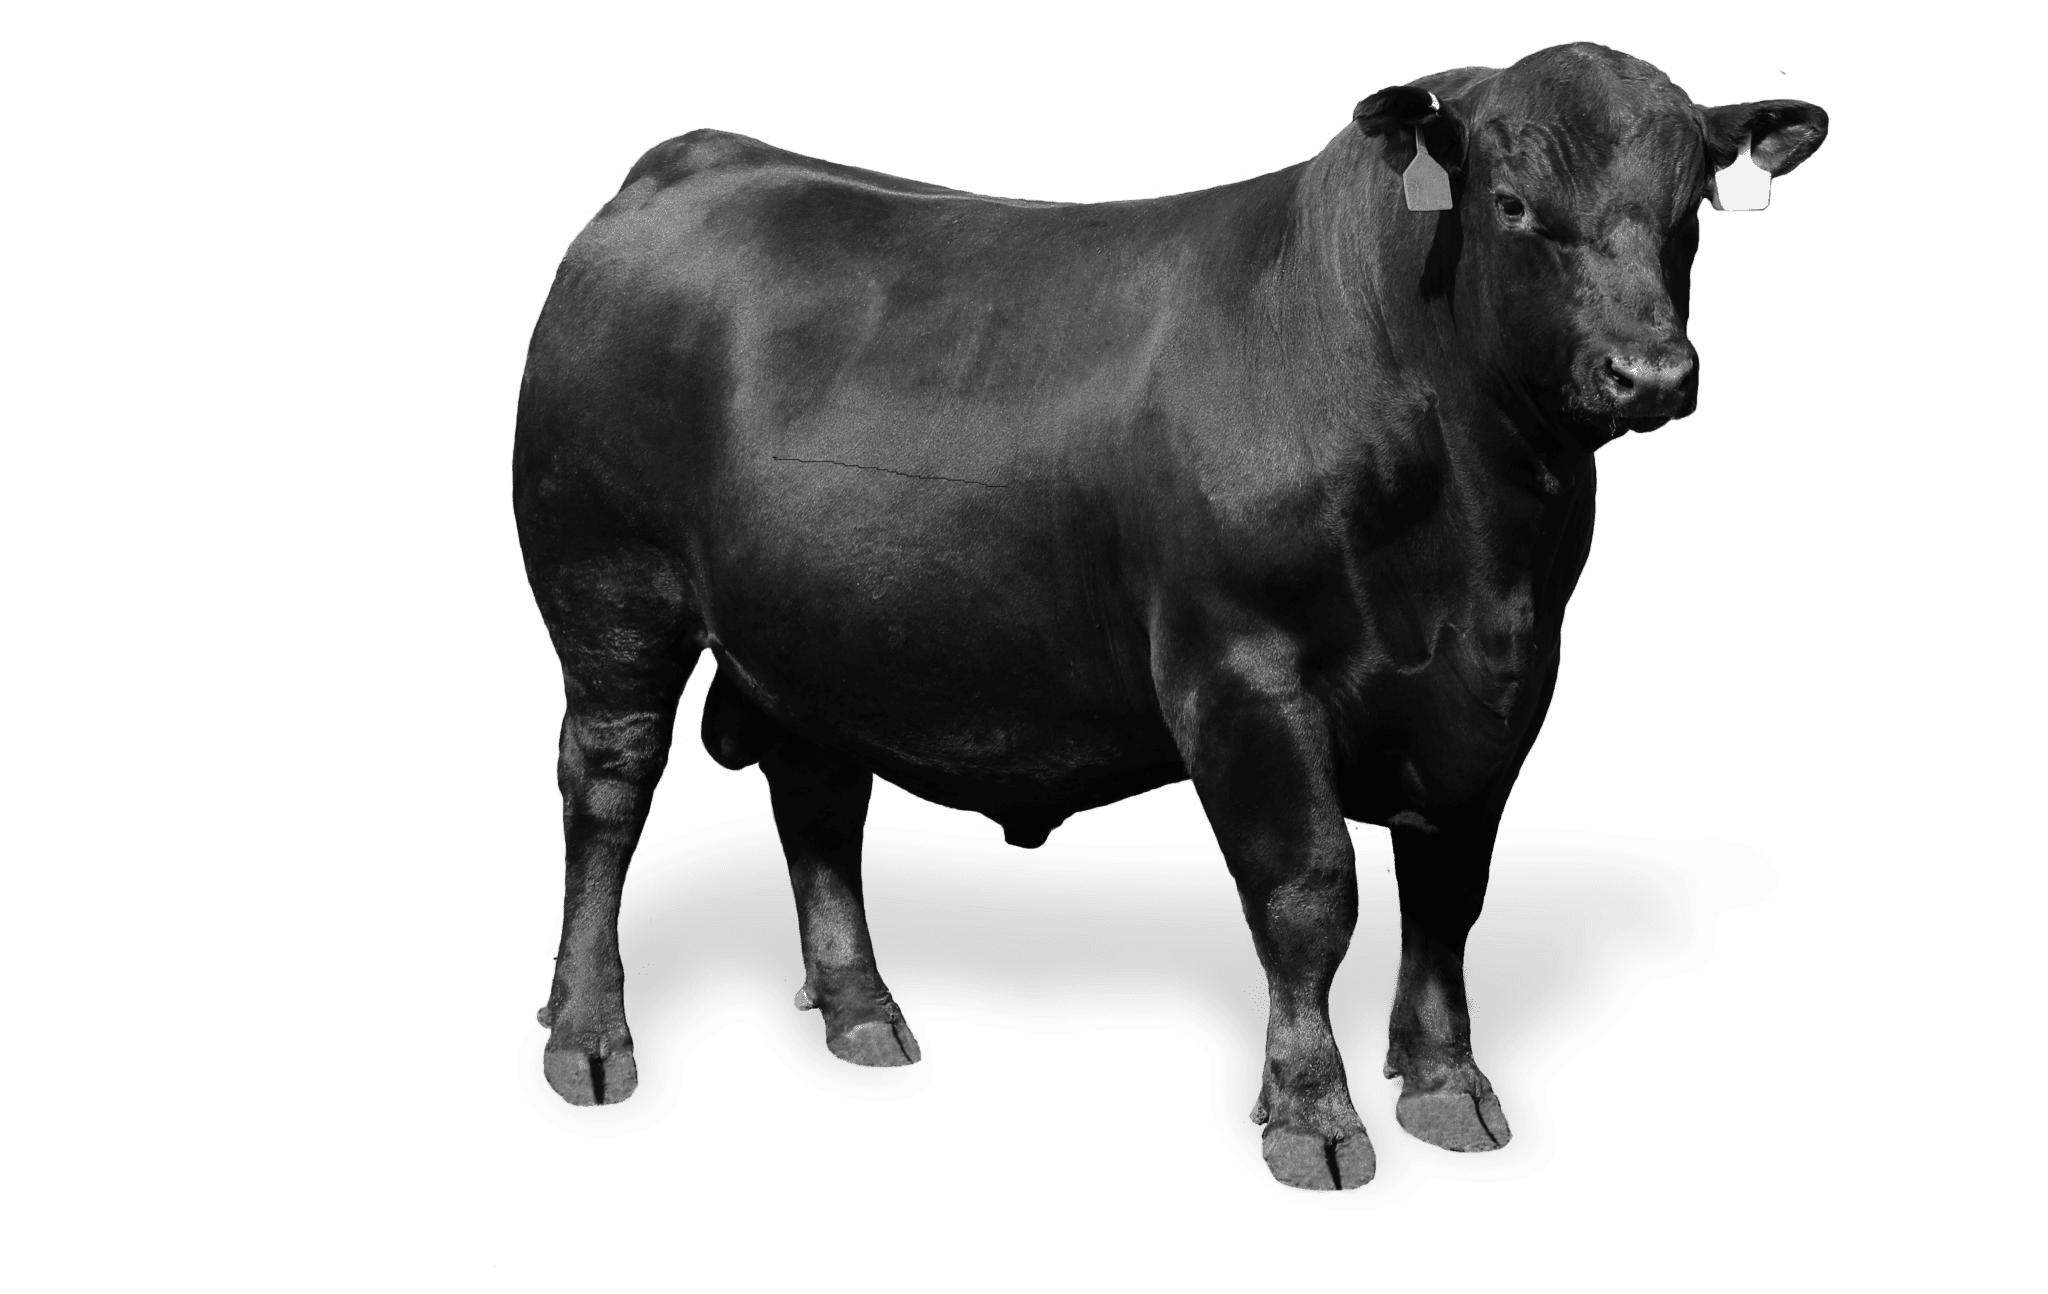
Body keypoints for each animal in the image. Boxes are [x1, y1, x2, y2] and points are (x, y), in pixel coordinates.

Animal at [511, 41, 1828, 1193]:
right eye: (1509, 202)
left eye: (1687, 207)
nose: (1645, 372)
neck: (1468, 527)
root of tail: (695, 157)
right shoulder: (1237, 665)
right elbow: (1305, 891)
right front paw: (1313, 1121)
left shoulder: (1500, 677)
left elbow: (1449, 885)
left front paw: (1448, 1091)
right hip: (607, 584)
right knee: (606, 786)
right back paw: (586, 1041)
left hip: (822, 627)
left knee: (821, 801)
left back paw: (862, 1016)